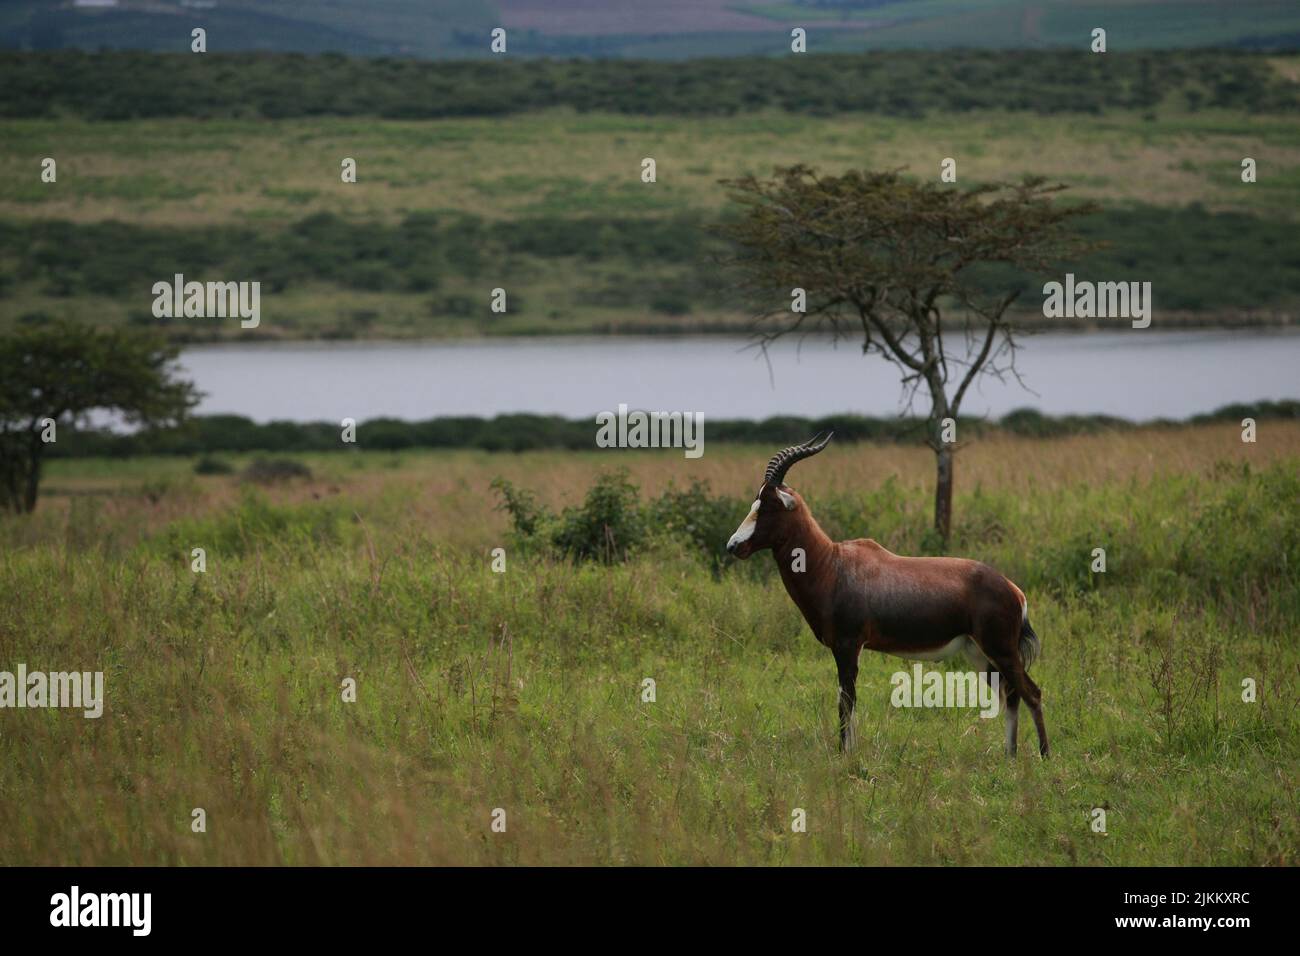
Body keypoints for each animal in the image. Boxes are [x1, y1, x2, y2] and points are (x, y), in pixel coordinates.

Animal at [725, 433, 1048, 757]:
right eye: (755, 501)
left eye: (768, 506)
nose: (733, 545)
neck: (833, 563)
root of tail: (1014, 591)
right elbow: (848, 701)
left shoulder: (848, 646)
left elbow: (846, 701)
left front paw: (844, 754)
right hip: (979, 653)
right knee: (1011, 694)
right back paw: (1010, 756)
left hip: (1000, 650)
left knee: (1031, 692)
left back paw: (1043, 757)